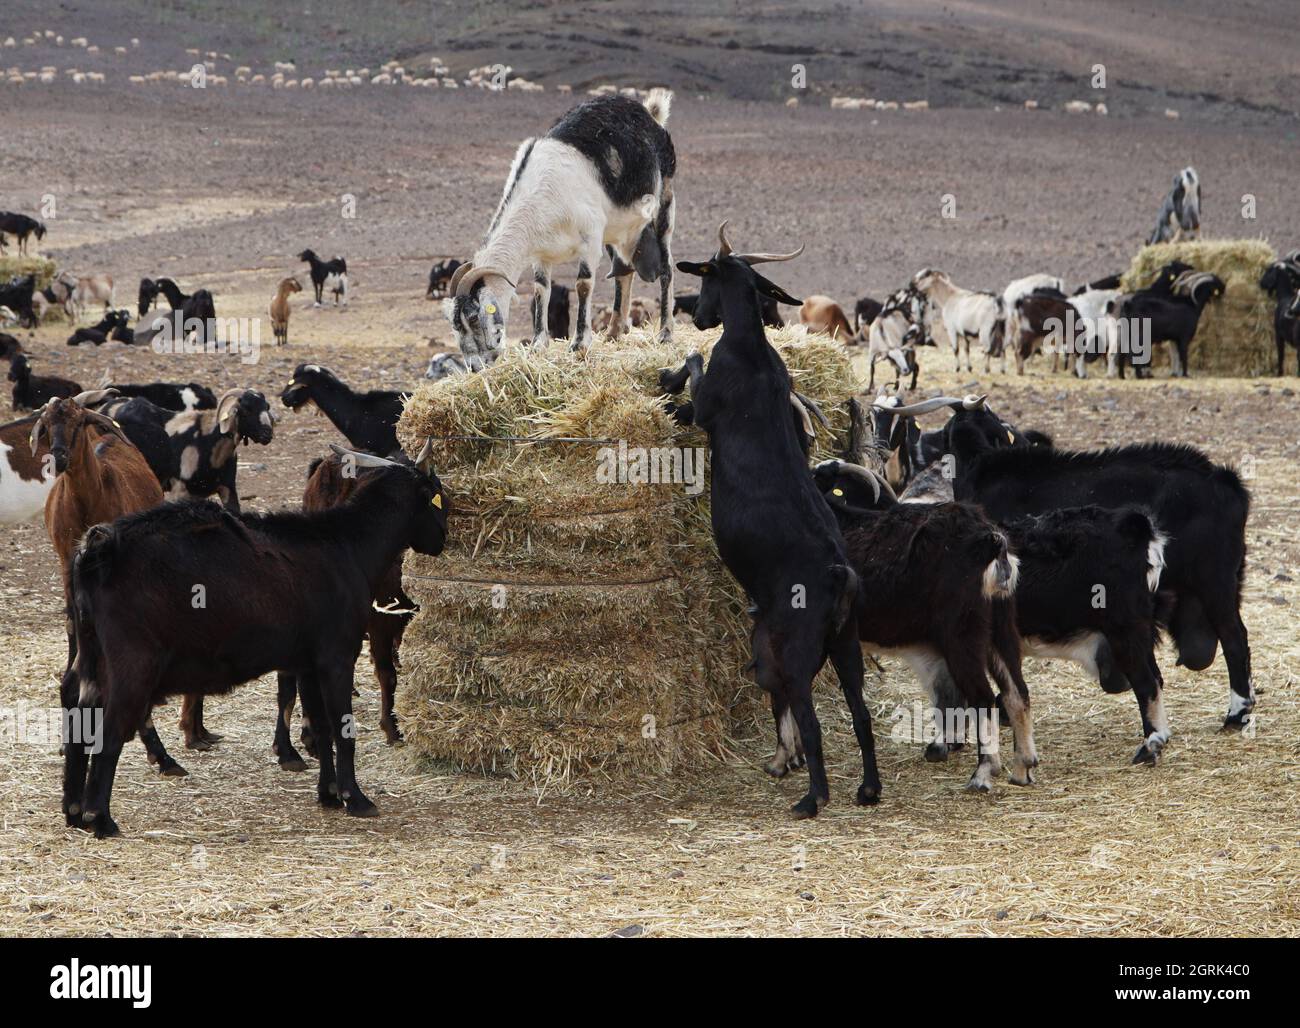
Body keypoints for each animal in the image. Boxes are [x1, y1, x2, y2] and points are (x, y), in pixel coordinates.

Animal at [444, 91, 676, 363]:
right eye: (454, 323)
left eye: (473, 318)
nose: (476, 365)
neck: (541, 193)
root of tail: (651, 115)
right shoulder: (541, 253)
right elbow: (540, 290)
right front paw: (538, 345)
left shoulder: (590, 239)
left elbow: (583, 285)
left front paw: (579, 344)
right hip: (617, 230)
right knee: (624, 271)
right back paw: (613, 333)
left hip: (664, 205)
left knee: (666, 268)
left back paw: (665, 333)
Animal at [658, 221, 880, 818]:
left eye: (705, 278)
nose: (697, 314)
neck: (751, 349)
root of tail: (836, 573)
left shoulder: (705, 410)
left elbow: (693, 369)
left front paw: (667, 377)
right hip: (846, 647)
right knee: (860, 714)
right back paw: (867, 789)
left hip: (796, 652)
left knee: (810, 718)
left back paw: (812, 797)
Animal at [811, 460, 1037, 789]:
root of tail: (991, 542)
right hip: (1001, 628)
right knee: (1017, 692)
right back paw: (1023, 767)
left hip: (962, 635)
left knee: (983, 697)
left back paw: (983, 772)